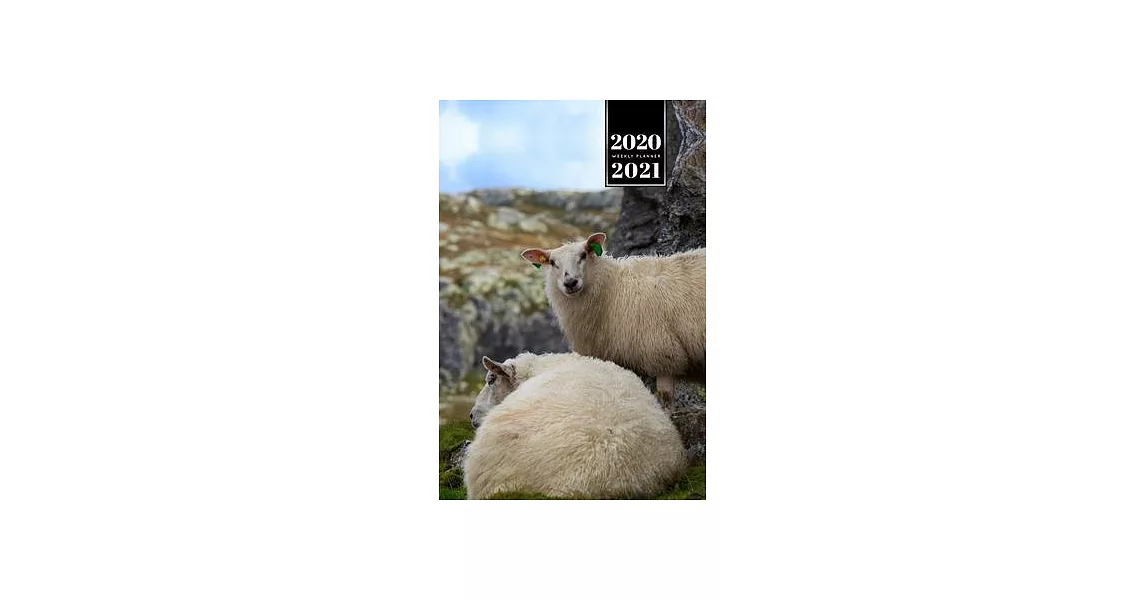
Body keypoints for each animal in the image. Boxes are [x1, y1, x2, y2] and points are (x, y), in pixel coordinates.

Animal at [520, 232, 705, 405]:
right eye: (552, 262)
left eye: (583, 255)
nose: (570, 282)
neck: (612, 291)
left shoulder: (664, 354)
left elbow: (664, 399)